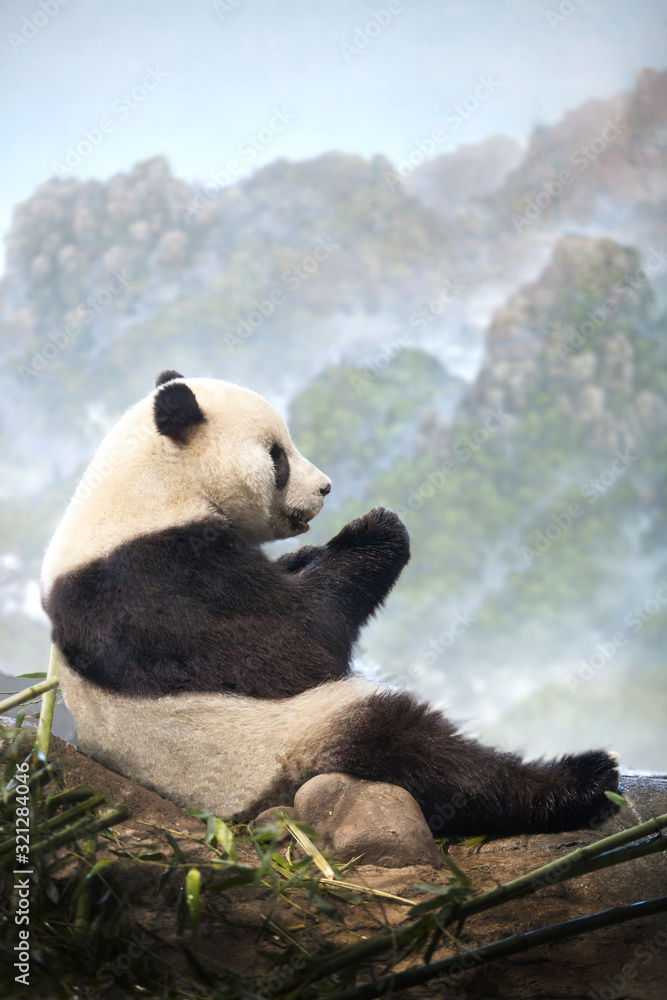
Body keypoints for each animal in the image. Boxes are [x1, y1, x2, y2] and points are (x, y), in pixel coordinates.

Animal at [41, 371, 619, 835]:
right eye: (277, 456)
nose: (325, 488)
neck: (154, 485)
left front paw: (314, 551)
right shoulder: (157, 580)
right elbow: (297, 642)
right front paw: (378, 528)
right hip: (276, 745)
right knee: (417, 752)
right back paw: (581, 780)